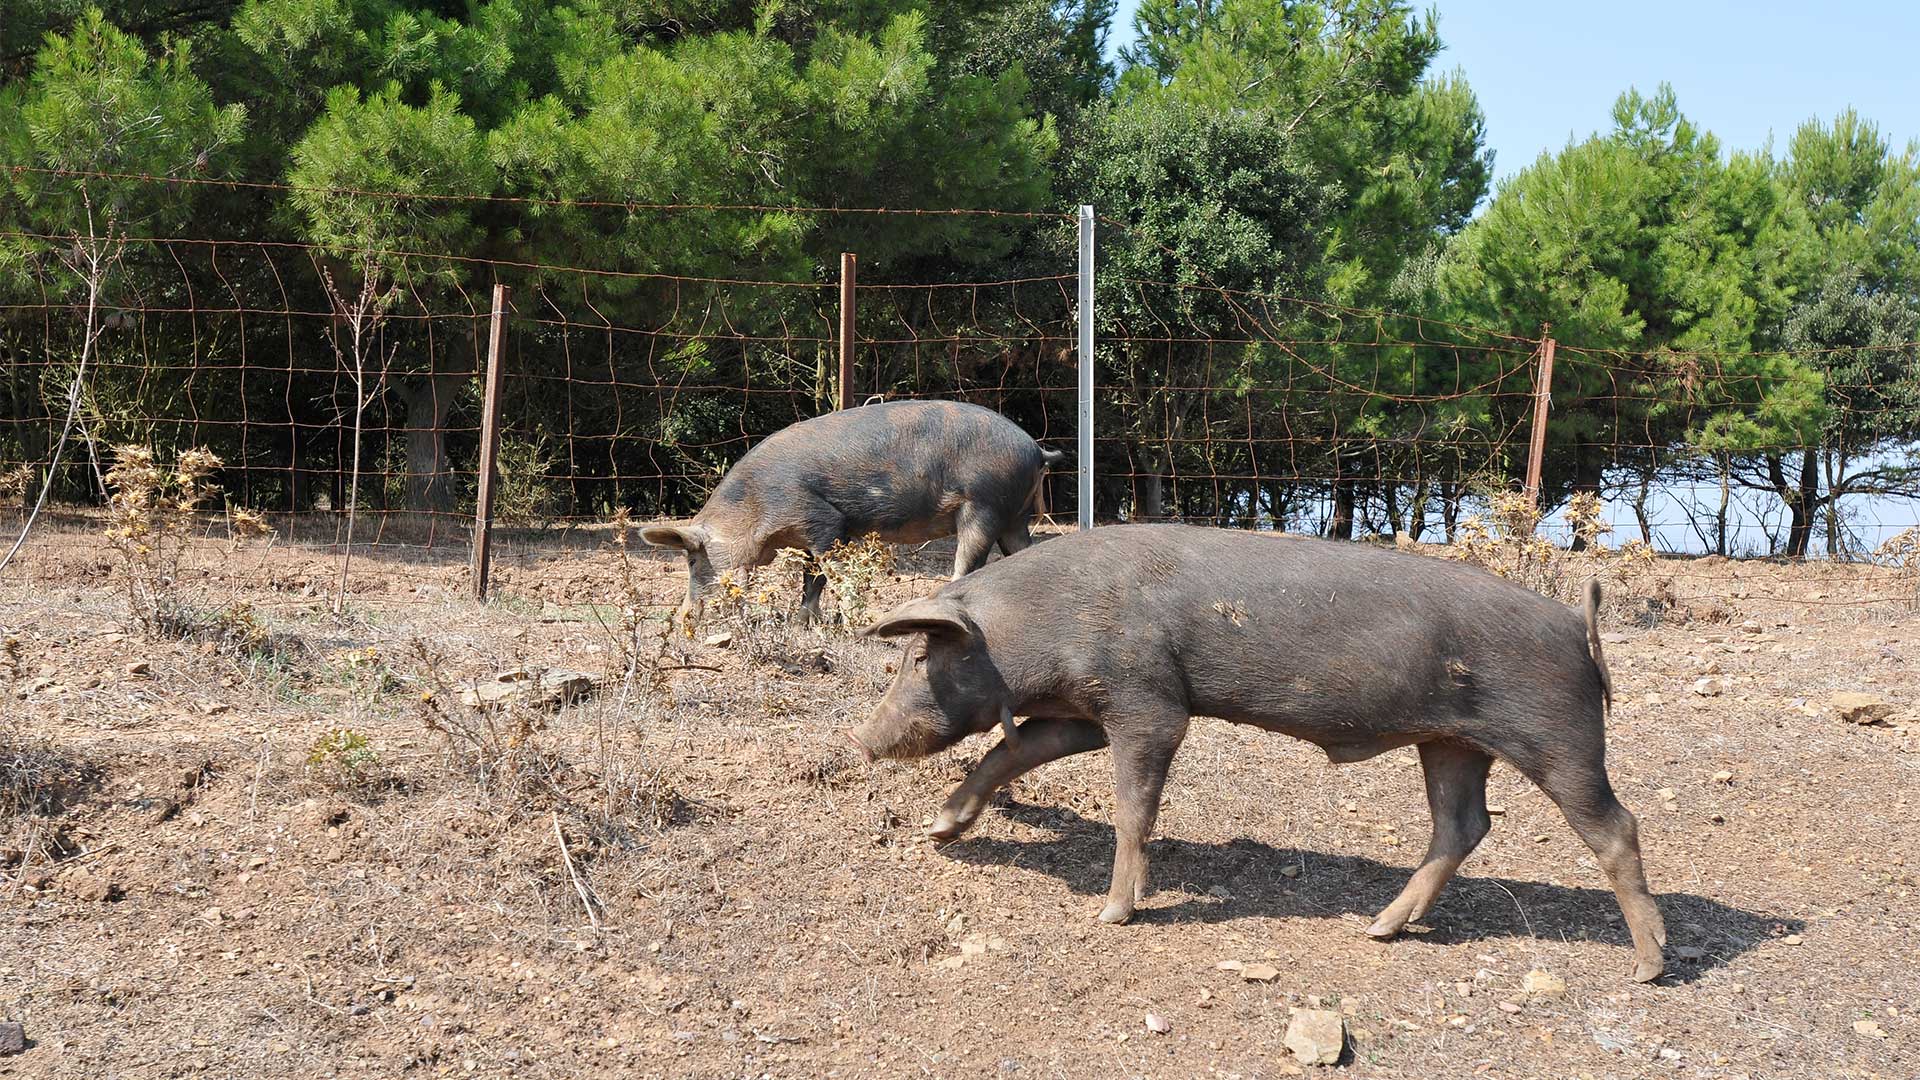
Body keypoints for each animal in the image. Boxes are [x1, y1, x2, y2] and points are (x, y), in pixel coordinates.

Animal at [642, 400, 1063, 623]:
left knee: (967, 563)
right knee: (1025, 553)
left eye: (692, 559)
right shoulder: (807, 535)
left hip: (984, 504)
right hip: (1014, 516)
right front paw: (803, 622)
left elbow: (831, 571)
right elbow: (811, 579)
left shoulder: (824, 521)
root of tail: (1035, 449)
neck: (752, 508)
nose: (683, 617)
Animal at [852, 524, 1666, 982]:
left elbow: (1132, 806)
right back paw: (1379, 928)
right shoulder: (1085, 712)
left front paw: (1112, 915)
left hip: (1558, 736)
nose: (864, 738)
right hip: (1451, 743)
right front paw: (940, 830)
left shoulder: (1148, 703)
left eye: (917, 658)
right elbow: (1005, 752)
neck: (1035, 623)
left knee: (1616, 826)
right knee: (1464, 826)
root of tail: (1577, 624)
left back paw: (1646, 969)